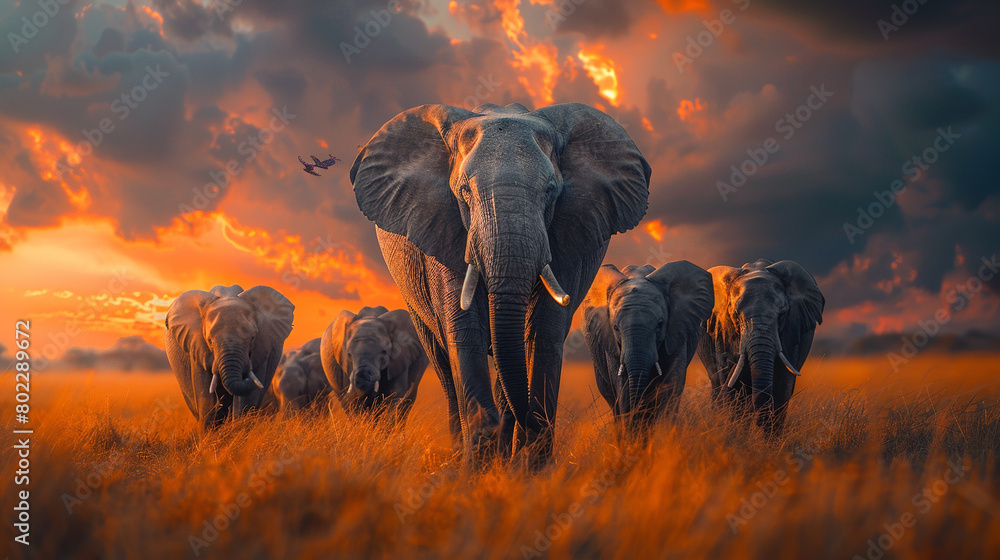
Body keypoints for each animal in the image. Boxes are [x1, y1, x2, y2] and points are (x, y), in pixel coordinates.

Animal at [164, 285, 295, 431]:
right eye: (210, 341)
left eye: (252, 338)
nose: (246, 379)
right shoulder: (197, 347)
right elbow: (205, 398)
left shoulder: (262, 349)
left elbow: (247, 399)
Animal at [350, 102, 650, 466]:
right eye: (464, 191)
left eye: (550, 192)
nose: (528, 423)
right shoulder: (444, 228)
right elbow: (464, 331)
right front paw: (480, 463)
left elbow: (542, 333)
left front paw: (530, 464)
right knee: (442, 360)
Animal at [581, 261, 713, 429]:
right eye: (616, 328)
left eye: (660, 324)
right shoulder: (611, 342)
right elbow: (622, 388)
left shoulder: (677, 329)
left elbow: (672, 385)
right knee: (612, 399)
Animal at [696, 259, 825, 436]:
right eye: (735, 316)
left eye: (782, 314)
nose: (759, 421)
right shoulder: (720, 329)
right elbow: (733, 388)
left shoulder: (792, 332)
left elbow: (782, 386)